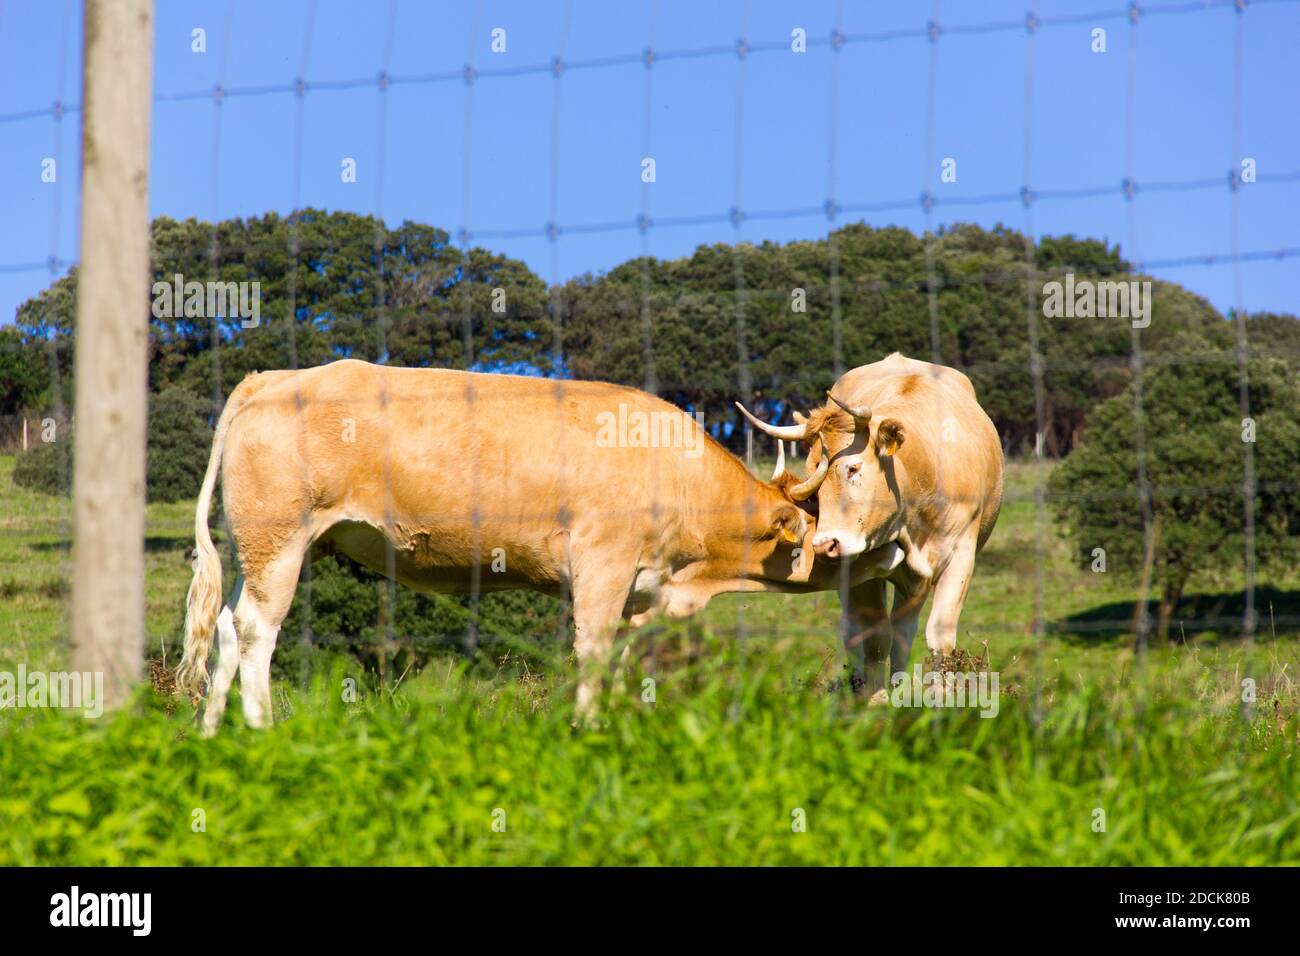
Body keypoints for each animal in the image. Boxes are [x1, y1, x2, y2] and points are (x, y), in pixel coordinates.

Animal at [177, 359, 909, 733]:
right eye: (830, 511)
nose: (892, 552)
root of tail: (271, 376)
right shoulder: (602, 563)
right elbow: (592, 651)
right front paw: (588, 730)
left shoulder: (638, 587)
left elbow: (618, 660)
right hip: (280, 539)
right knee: (257, 630)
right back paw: (261, 730)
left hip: (256, 546)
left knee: (225, 627)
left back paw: (212, 732)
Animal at [736, 352, 1003, 698]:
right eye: (813, 477)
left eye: (853, 468)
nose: (824, 544)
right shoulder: (860, 567)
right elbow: (875, 637)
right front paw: (874, 700)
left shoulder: (960, 556)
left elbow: (939, 636)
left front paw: (940, 697)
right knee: (858, 631)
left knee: (905, 629)